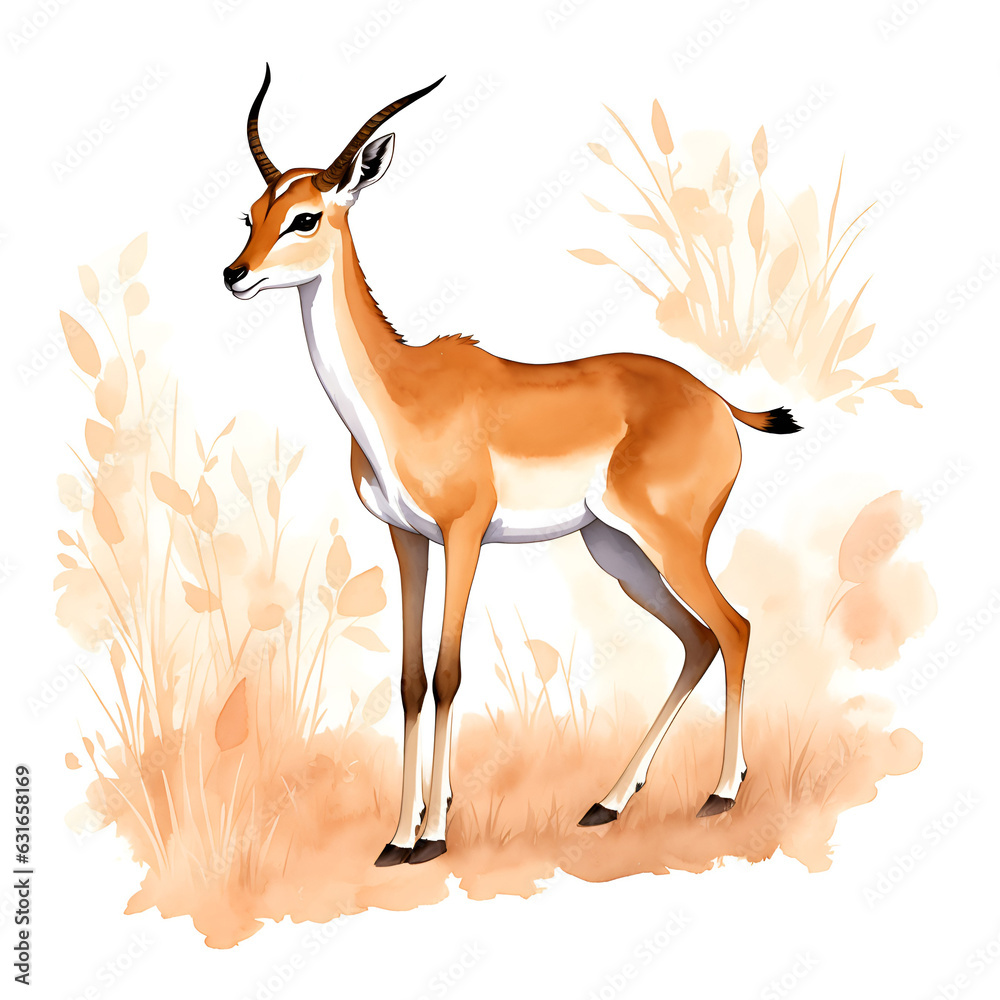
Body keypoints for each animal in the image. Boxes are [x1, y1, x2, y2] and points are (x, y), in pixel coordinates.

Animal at [223, 67, 801, 867]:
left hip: (671, 542)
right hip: (617, 549)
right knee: (697, 640)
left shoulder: (465, 534)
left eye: (305, 217)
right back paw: (606, 804)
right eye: (250, 214)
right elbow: (408, 679)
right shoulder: (406, 539)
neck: (401, 392)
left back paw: (719, 795)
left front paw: (432, 837)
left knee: (735, 629)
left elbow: (447, 672)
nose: (234, 274)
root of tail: (717, 399)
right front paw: (396, 837)